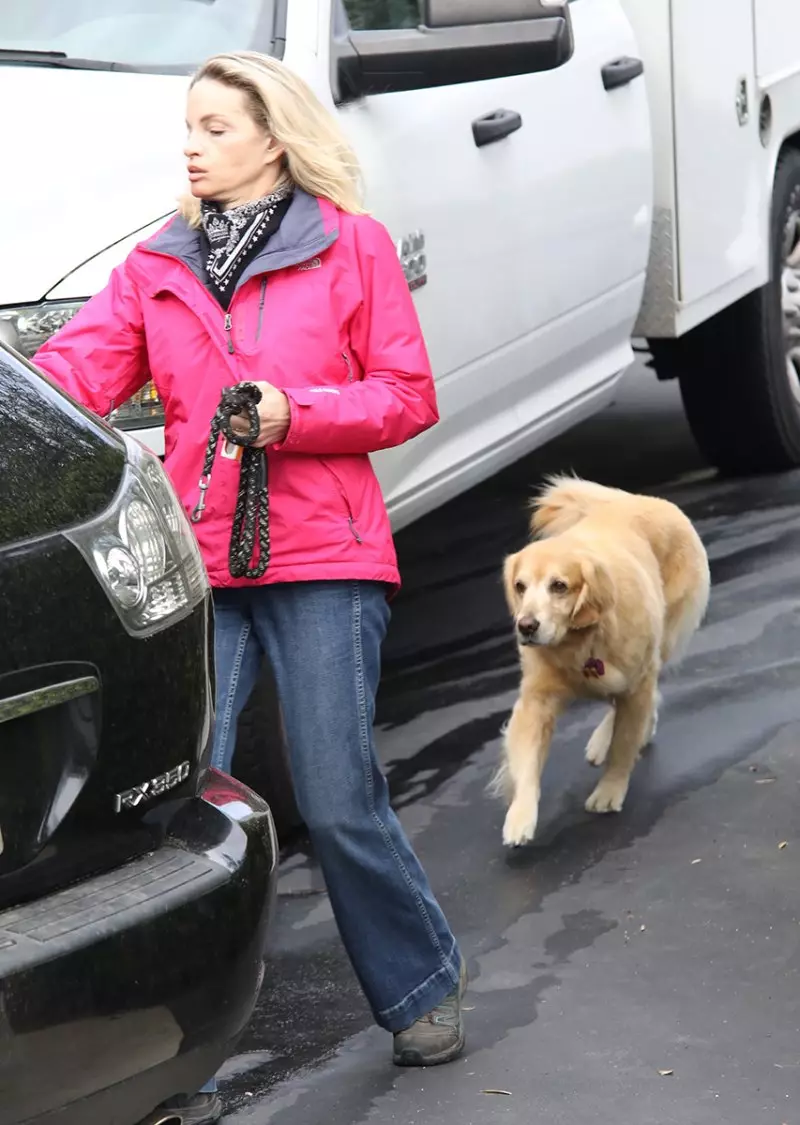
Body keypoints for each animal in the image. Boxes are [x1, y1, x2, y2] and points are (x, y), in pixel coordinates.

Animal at [497, 470, 711, 846]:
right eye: (520, 586)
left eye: (559, 586)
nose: (526, 626)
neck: (581, 641)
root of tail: (640, 498)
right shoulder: (536, 701)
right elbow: (526, 761)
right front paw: (520, 817)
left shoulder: (637, 683)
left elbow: (623, 746)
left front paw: (609, 791)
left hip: (663, 639)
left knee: (640, 697)